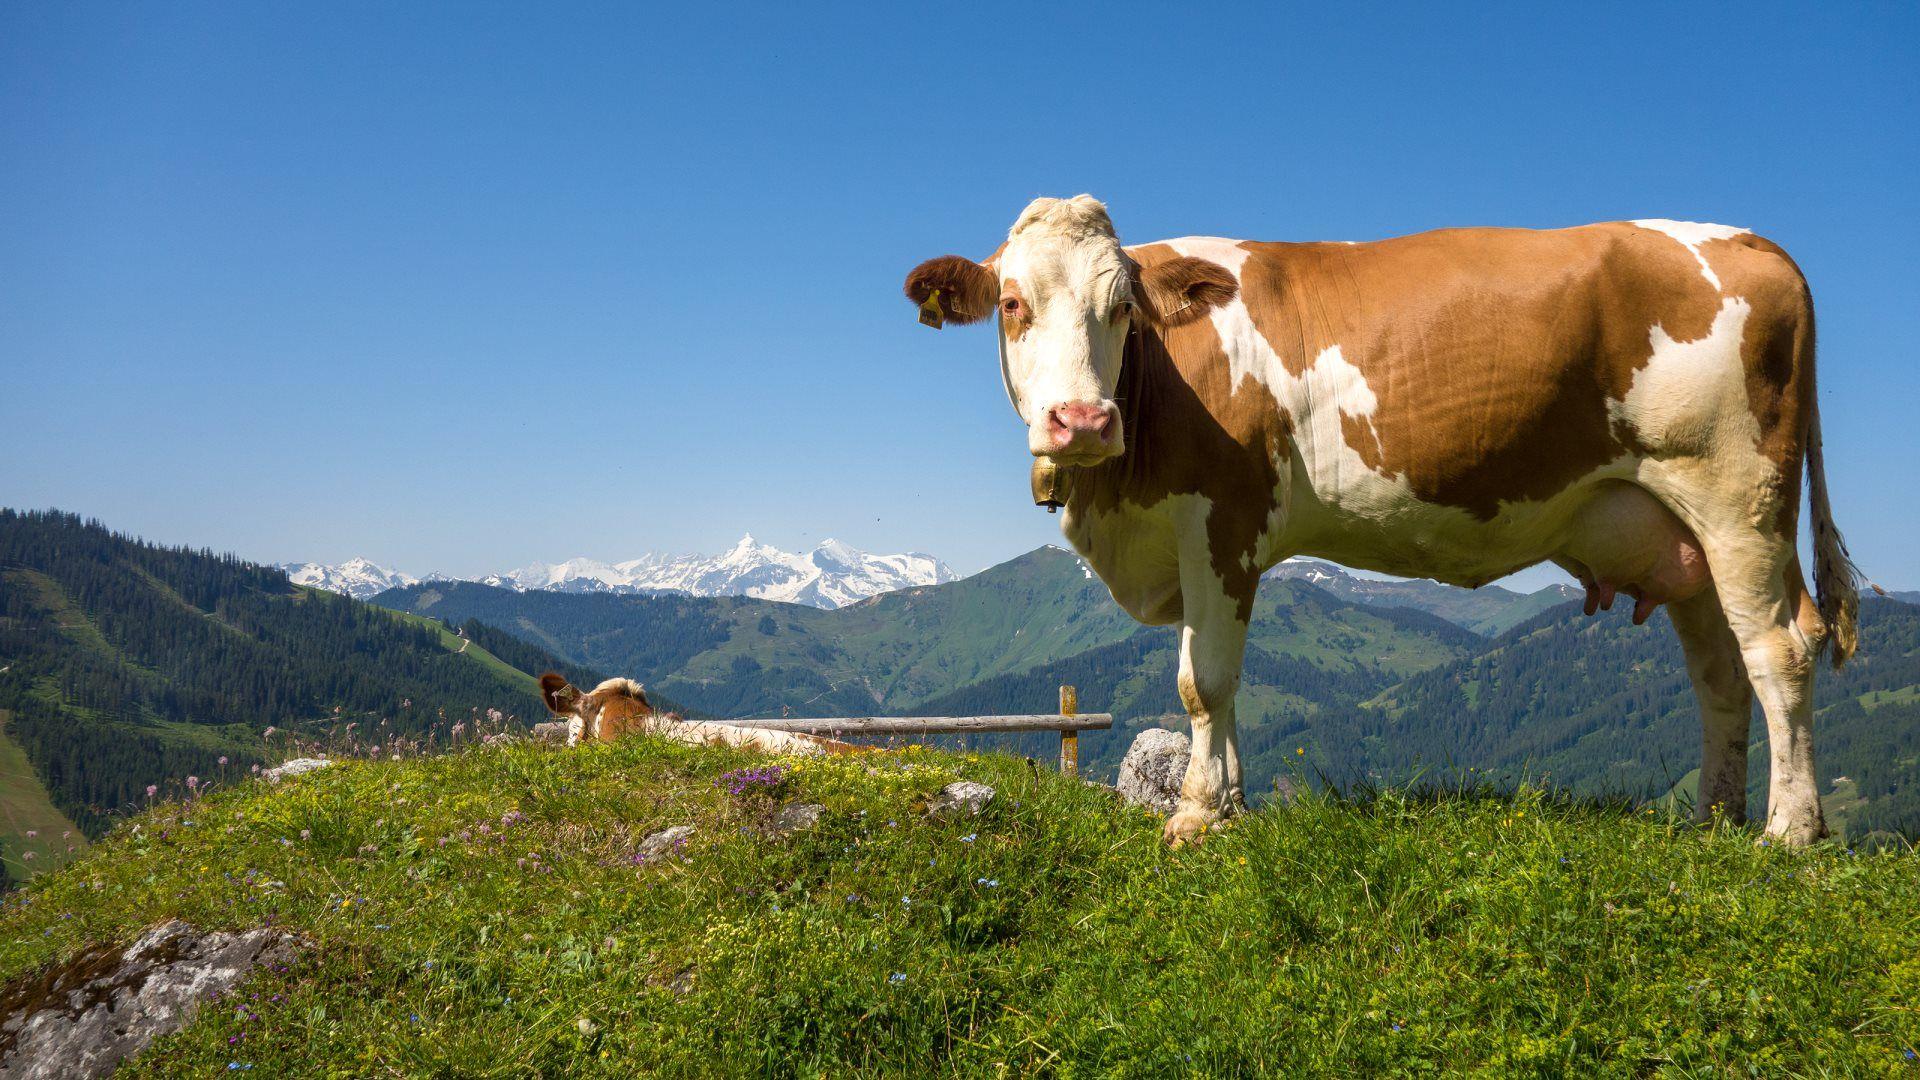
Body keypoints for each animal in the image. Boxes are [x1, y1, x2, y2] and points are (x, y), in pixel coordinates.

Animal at [904, 195, 1861, 846]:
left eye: (1122, 308)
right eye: (1013, 304)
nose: (1081, 421)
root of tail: (1750, 240)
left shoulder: (1223, 519)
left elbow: (1202, 681)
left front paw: (1196, 818)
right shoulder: (1194, 545)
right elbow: (1221, 686)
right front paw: (1235, 806)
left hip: (1739, 495)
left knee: (1781, 649)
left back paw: (1788, 832)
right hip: (1679, 531)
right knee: (1719, 671)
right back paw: (1713, 820)